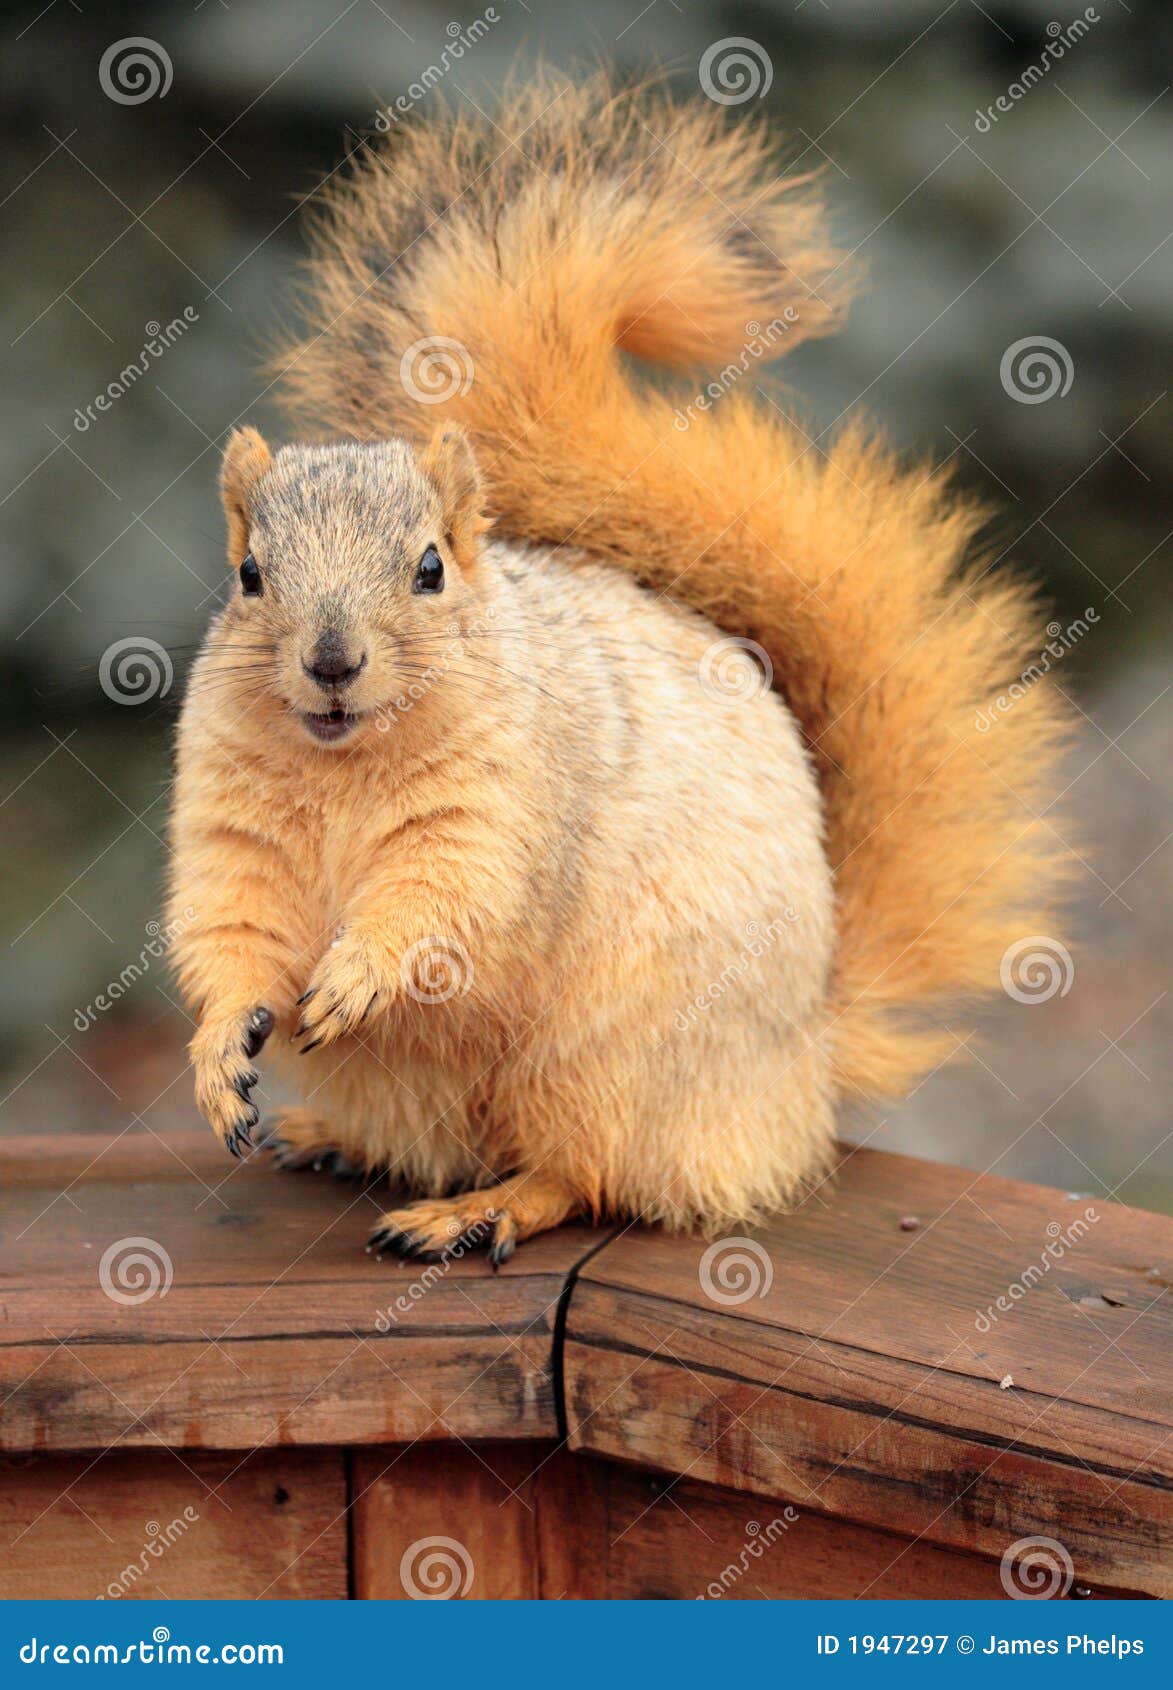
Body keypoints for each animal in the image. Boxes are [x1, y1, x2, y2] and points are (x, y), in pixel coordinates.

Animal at [167, 73, 1070, 1264]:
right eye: (248, 573)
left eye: (429, 568)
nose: (330, 662)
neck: (342, 766)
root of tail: (800, 1069)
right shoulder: (233, 823)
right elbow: (230, 923)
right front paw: (224, 1048)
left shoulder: (502, 815)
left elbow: (446, 904)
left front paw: (358, 974)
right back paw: (335, 1137)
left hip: (608, 1058)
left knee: (585, 1173)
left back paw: (479, 1209)